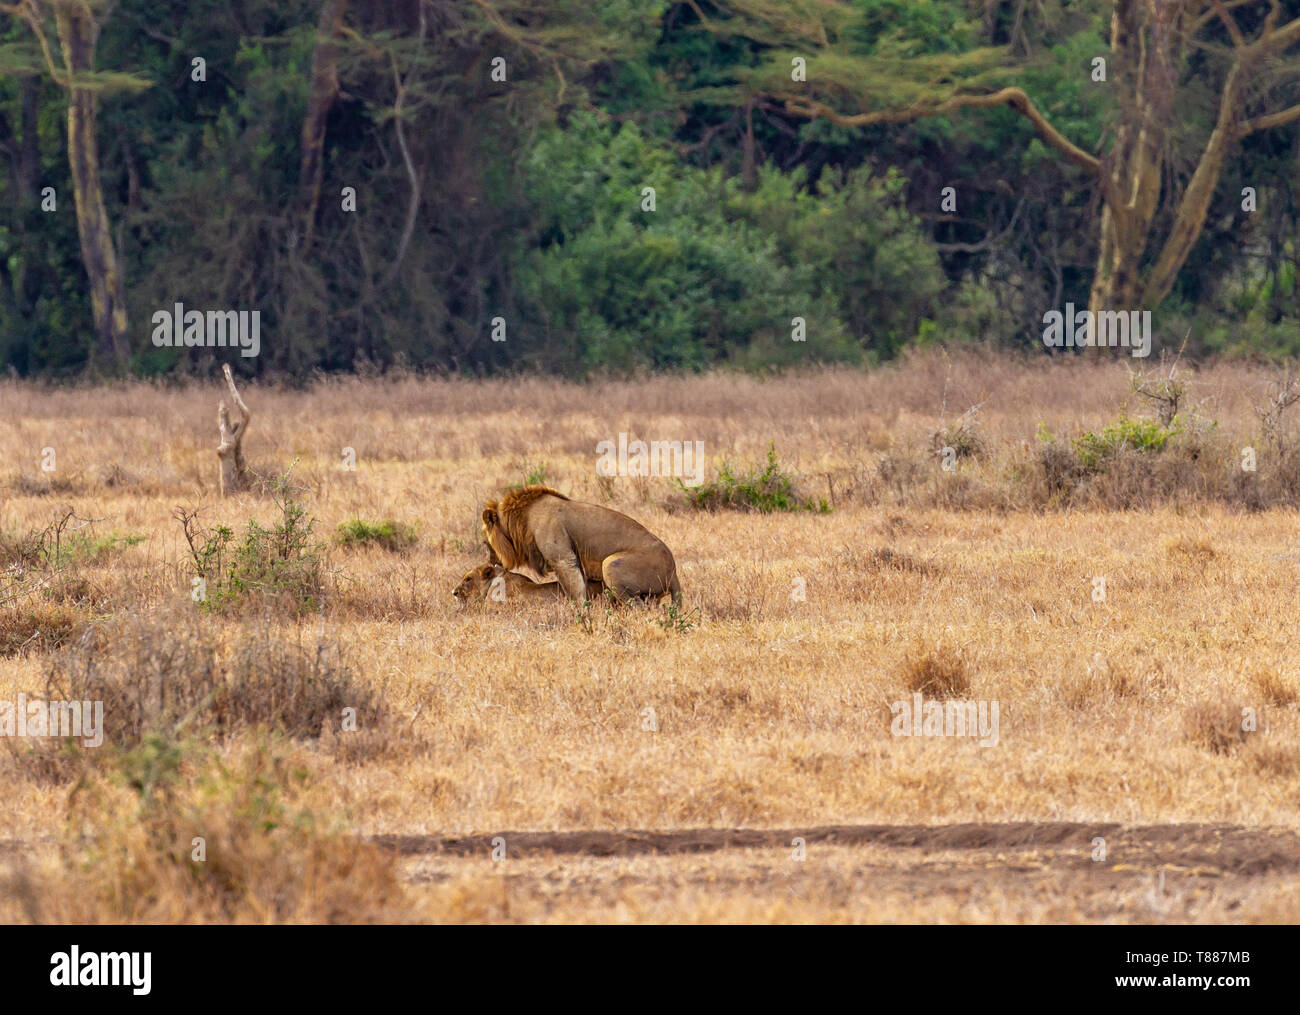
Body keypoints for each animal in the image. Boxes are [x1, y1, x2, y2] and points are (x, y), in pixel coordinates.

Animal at [479, 485, 682, 605]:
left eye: (484, 542)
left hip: (610, 564)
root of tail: (674, 572)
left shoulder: (564, 559)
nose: (491, 561)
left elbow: (576, 594)